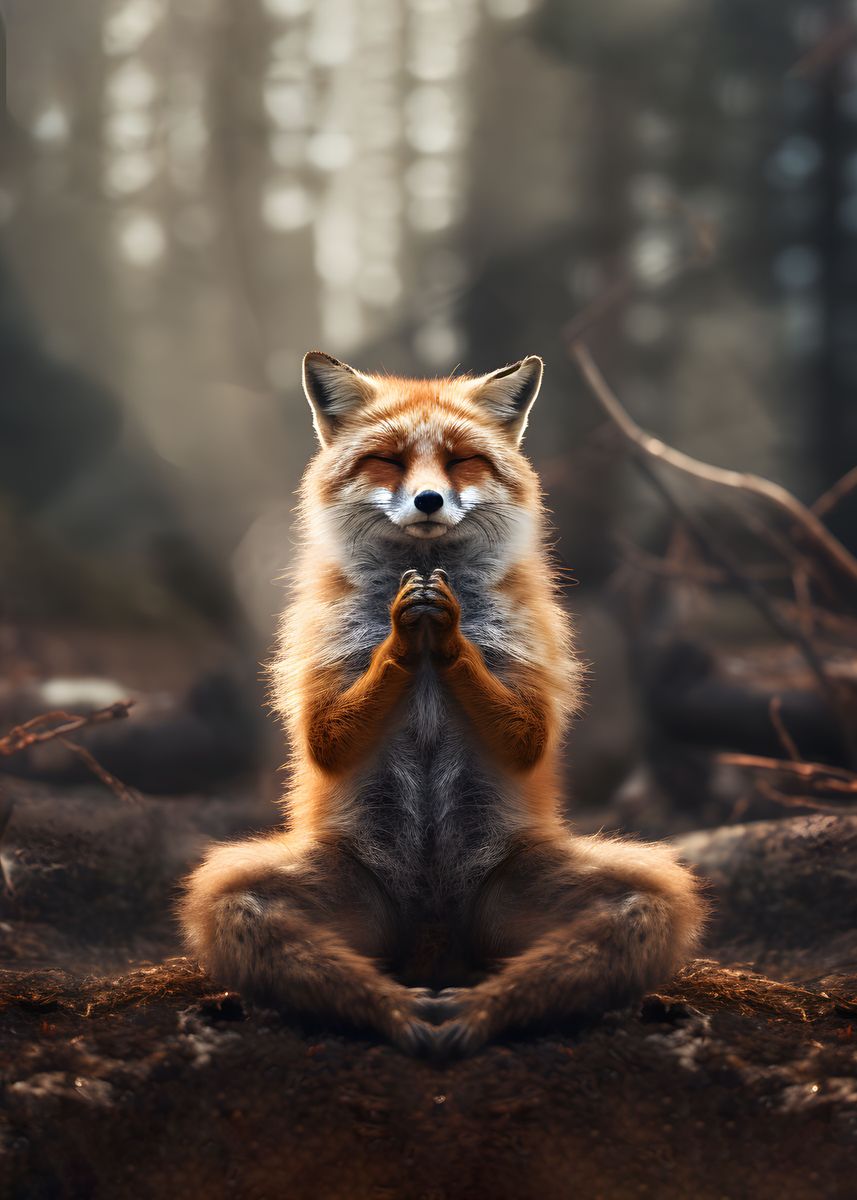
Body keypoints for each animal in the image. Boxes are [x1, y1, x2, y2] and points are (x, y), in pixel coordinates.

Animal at [179, 350, 705, 1056]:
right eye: (388, 460)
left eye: (462, 462)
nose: (428, 498)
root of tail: (434, 946)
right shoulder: (320, 682)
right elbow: (328, 735)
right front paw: (404, 637)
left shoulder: (529, 681)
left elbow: (523, 731)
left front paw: (447, 634)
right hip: (238, 897)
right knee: (291, 938)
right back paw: (399, 1010)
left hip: (634, 895)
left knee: (598, 933)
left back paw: (475, 1010)